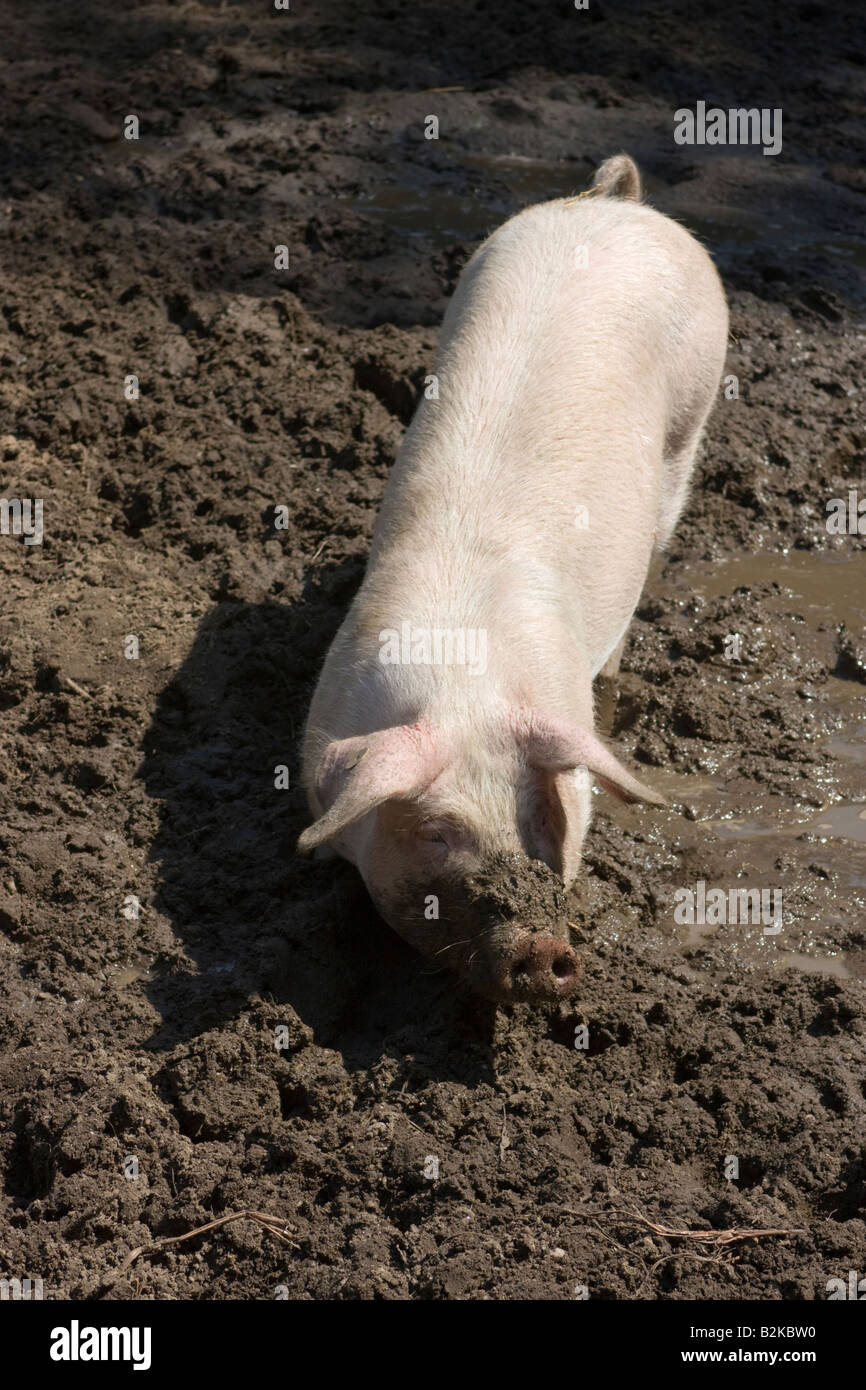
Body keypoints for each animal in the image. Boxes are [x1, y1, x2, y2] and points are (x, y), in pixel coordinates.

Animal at [297, 154, 733, 1000]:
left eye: (541, 810)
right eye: (437, 832)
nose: (541, 949)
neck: (464, 684)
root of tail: (615, 203)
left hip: (693, 414)